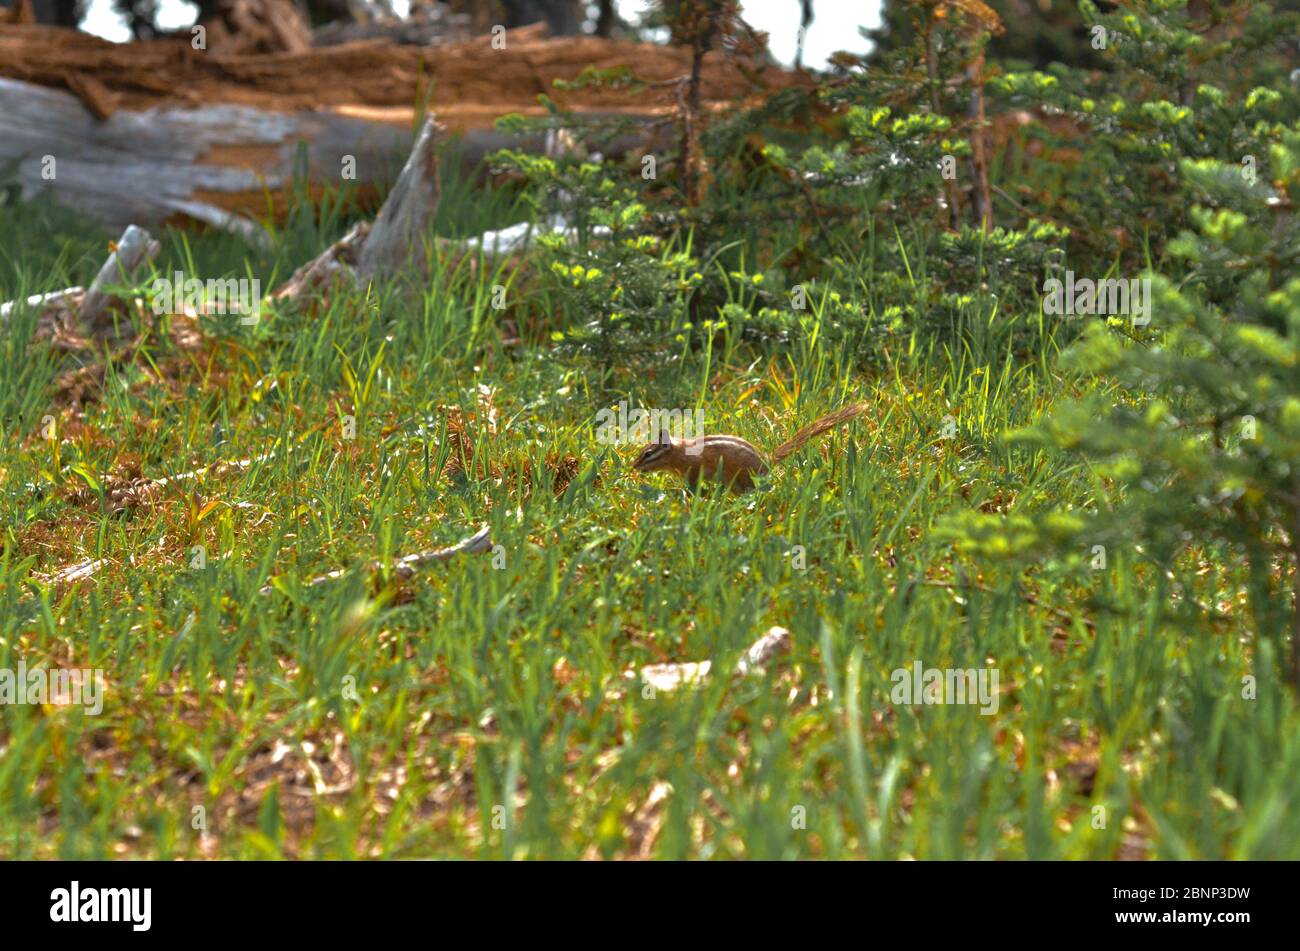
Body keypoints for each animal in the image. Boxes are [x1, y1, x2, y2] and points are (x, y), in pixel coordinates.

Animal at [630, 402, 868, 493]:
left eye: (648, 454)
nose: (634, 466)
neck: (679, 452)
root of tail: (767, 461)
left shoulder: (693, 471)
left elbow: (692, 486)